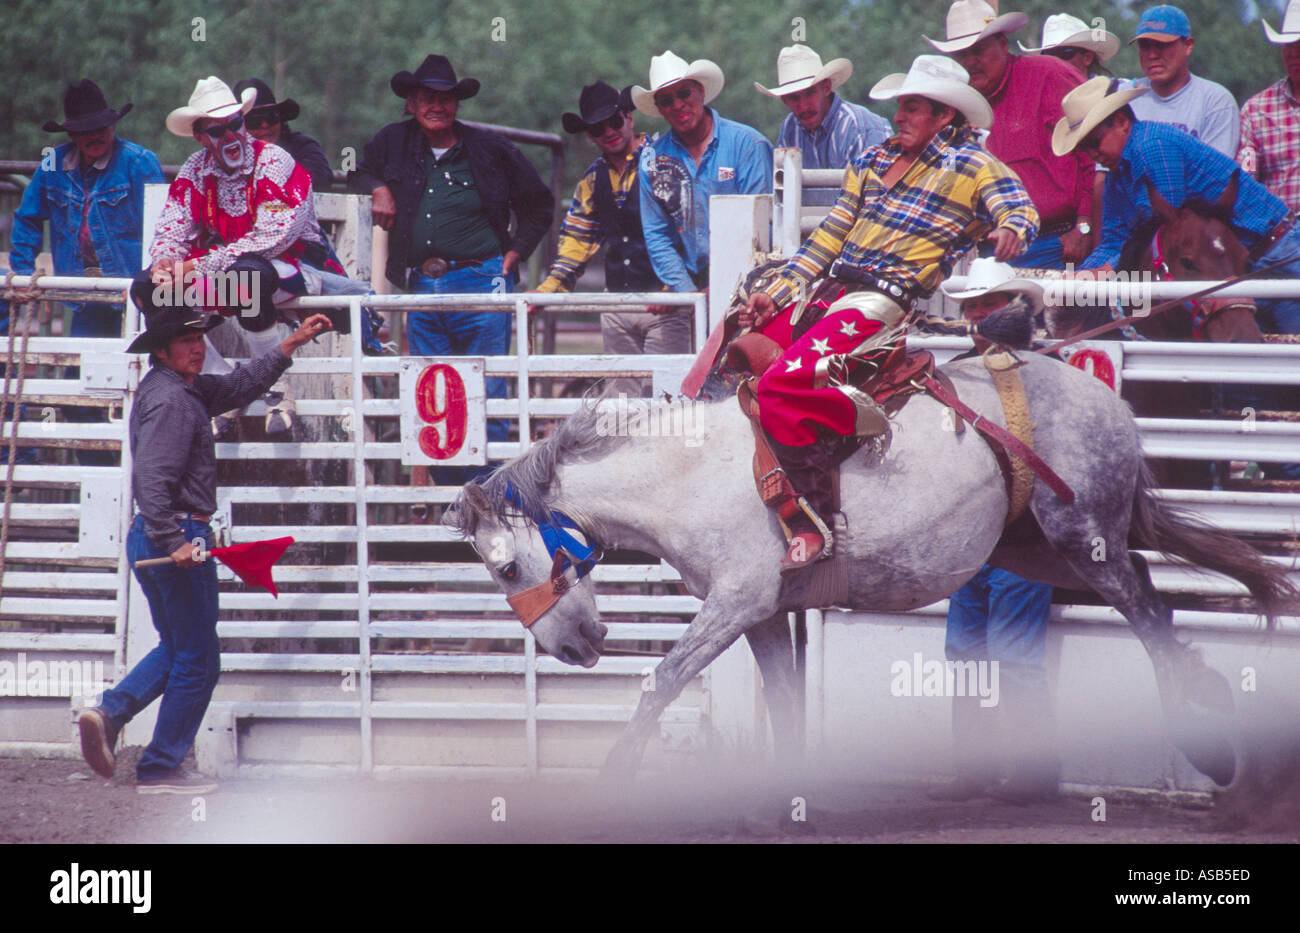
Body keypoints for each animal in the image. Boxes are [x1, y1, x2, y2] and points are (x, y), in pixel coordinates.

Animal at [446, 351, 1295, 786]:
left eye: (507, 565)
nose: (571, 649)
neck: (687, 473)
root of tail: (1107, 396)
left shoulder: (736, 599)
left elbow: (662, 681)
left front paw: (615, 780)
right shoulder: (761, 612)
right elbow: (785, 701)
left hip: (1079, 532)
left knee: (1147, 611)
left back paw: (1210, 745)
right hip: (1038, 544)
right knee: (1153, 592)